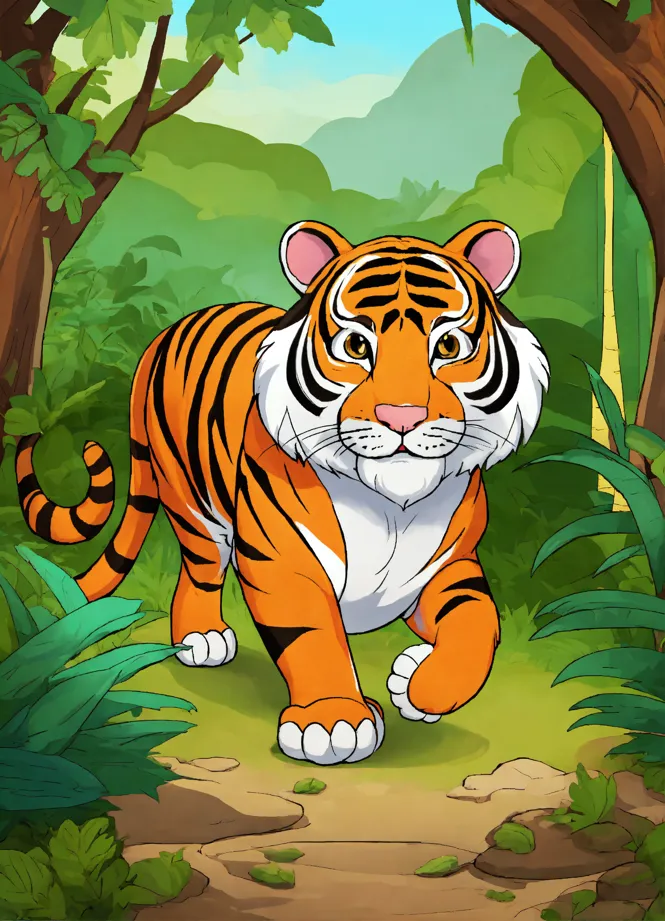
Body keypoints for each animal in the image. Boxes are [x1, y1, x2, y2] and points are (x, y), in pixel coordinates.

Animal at [15, 219, 549, 766]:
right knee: (201, 569)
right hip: (194, 505)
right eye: (357, 346)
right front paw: (333, 722)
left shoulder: (448, 564)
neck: (392, 504)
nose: (402, 417)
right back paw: (200, 638)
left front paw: (419, 685)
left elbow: (477, 624)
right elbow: (312, 637)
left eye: (448, 347)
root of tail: (164, 335)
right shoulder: (284, 560)